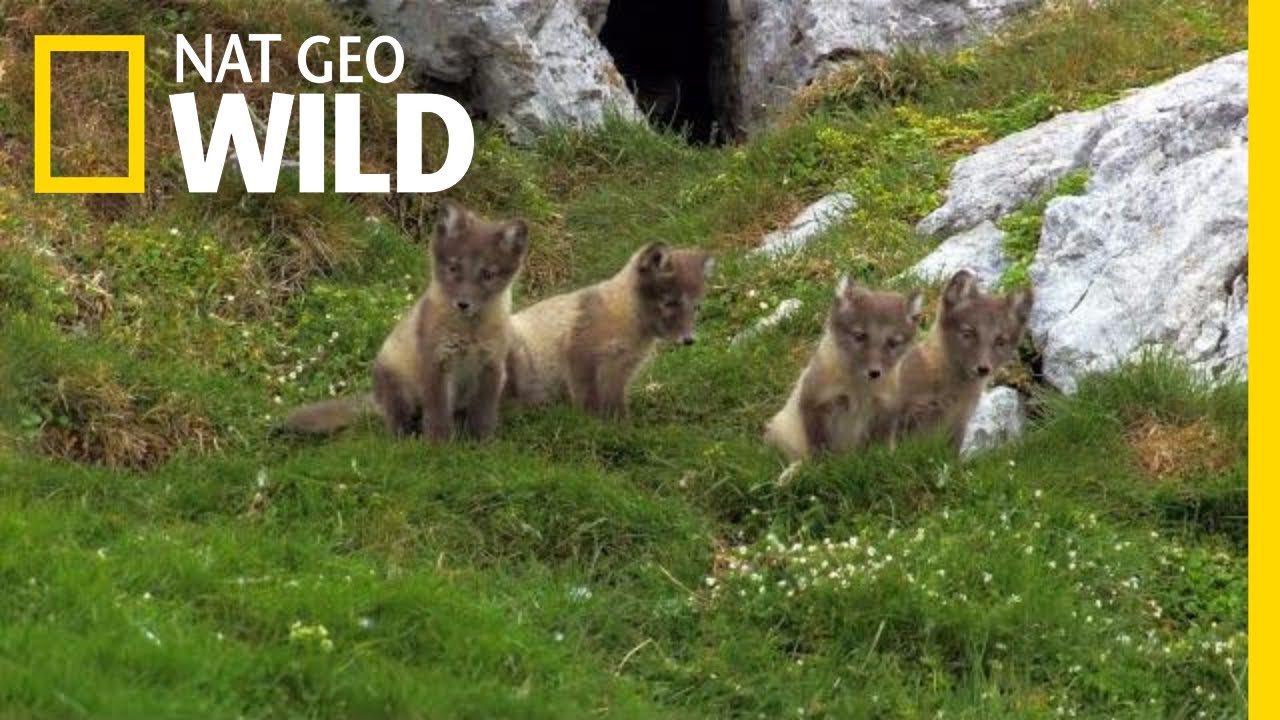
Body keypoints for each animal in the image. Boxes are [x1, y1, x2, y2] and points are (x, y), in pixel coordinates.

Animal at [281, 201, 529, 442]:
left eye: (488, 274)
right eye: (453, 267)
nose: (463, 304)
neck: (469, 333)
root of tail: (376, 398)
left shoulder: (492, 365)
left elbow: (483, 415)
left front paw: (481, 443)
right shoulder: (436, 362)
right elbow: (438, 414)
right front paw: (439, 446)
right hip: (399, 388)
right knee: (397, 425)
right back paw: (407, 439)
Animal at [505, 242, 713, 418]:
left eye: (696, 307)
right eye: (670, 303)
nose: (689, 340)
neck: (625, 315)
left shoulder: (622, 369)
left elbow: (615, 403)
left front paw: (621, 426)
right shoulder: (581, 355)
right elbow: (587, 398)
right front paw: (591, 423)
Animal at [764, 276, 923, 462]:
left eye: (893, 342)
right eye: (859, 336)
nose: (874, 373)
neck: (858, 390)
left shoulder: (886, 408)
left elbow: (880, 444)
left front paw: (882, 457)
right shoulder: (815, 402)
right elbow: (819, 445)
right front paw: (822, 464)